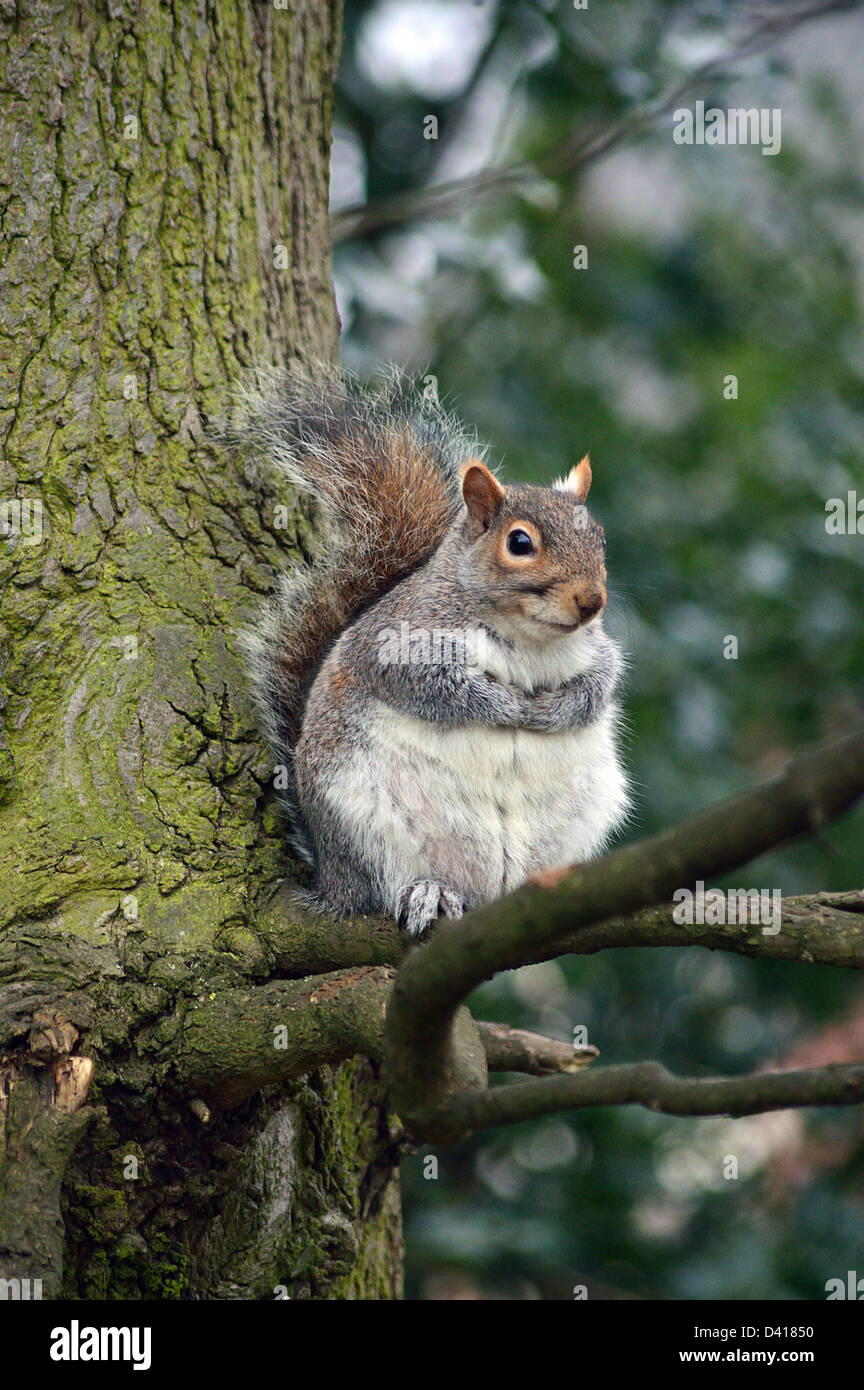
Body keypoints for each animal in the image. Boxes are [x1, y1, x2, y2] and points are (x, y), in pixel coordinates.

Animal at [236, 365, 630, 937]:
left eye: (599, 539)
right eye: (519, 543)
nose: (591, 601)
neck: (528, 637)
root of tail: (333, 882)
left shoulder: (595, 650)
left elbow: (600, 685)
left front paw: (556, 710)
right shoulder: (395, 642)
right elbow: (435, 688)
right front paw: (506, 706)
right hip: (361, 823)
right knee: (387, 884)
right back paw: (428, 892)